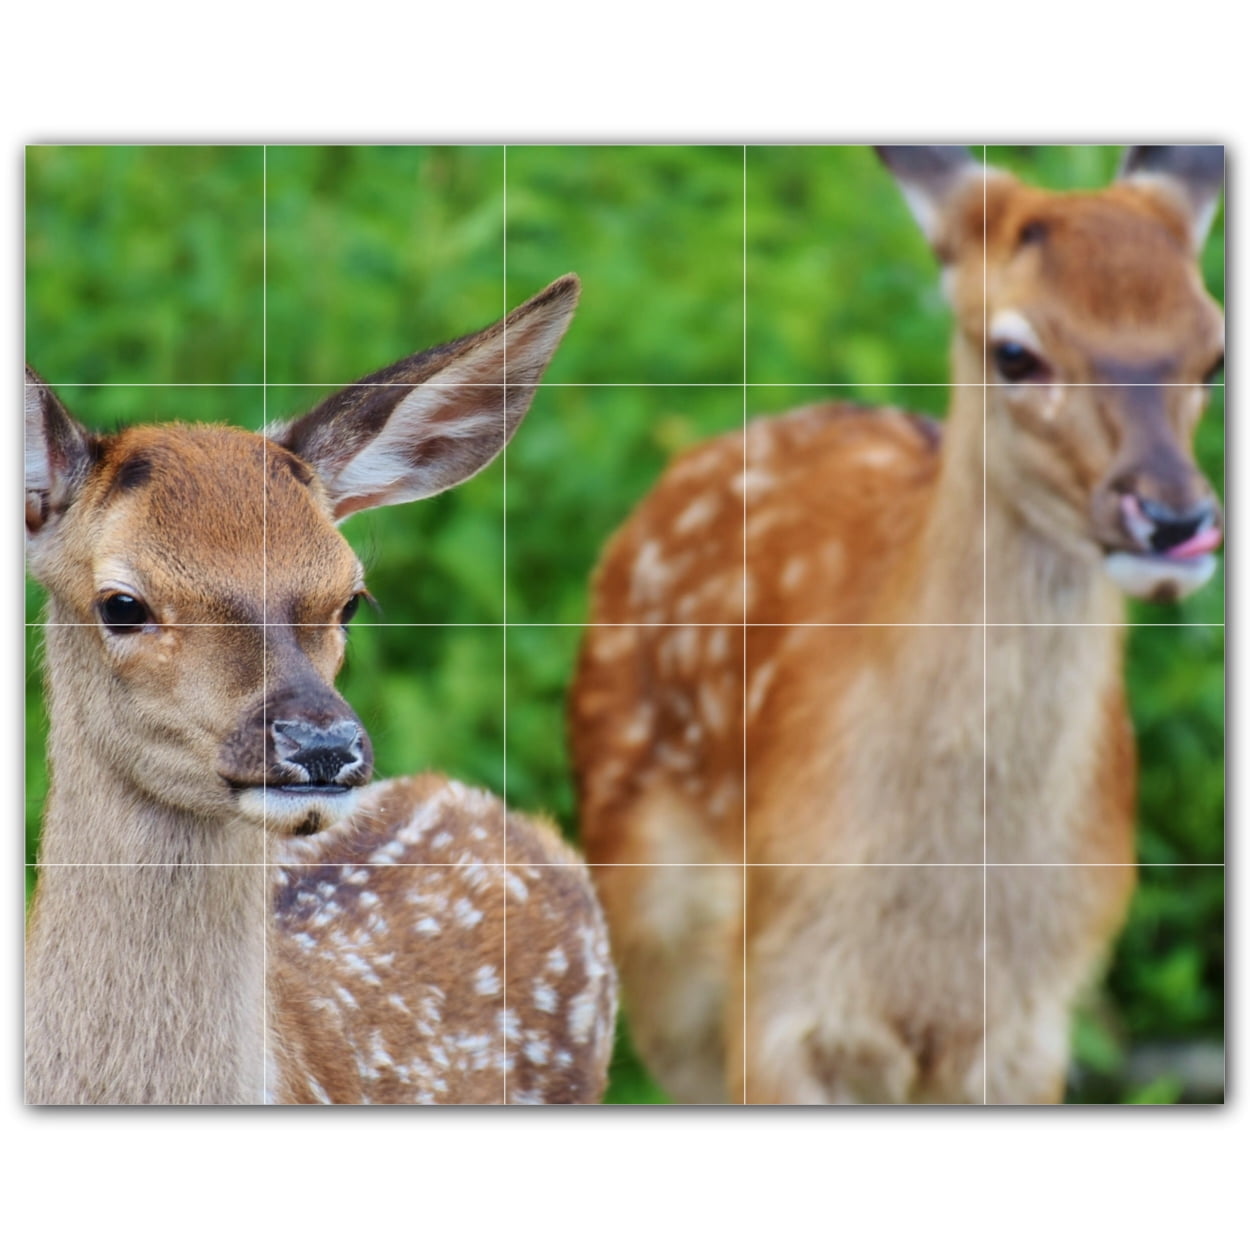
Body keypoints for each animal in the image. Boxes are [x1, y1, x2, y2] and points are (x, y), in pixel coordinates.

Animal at [571, 146, 1224, 1104]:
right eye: (1016, 351)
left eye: (1214, 353)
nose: (1174, 519)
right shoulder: (780, 993)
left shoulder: (1033, 1027)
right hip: (652, 930)